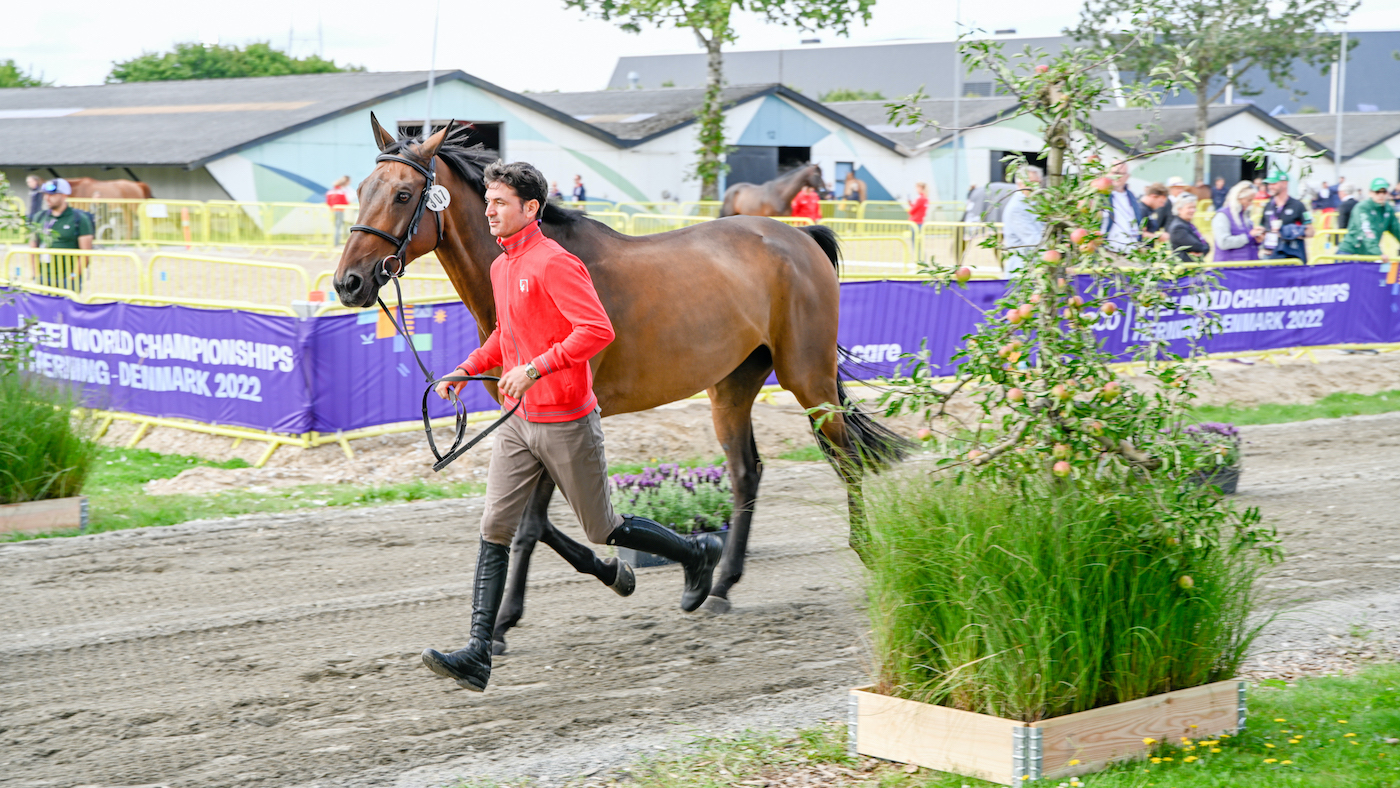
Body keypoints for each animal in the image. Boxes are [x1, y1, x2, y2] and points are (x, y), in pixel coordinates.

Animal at [333, 118, 906, 653]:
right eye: (361, 189)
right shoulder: (524, 423)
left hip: (807, 379)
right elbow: (540, 522)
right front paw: (619, 572)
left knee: (847, 460)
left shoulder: (558, 417)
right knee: (747, 472)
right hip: (731, 386)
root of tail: (800, 236)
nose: (348, 283)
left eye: (403, 194)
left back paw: (868, 553)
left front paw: (500, 624)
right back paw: (719, 586)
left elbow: (530, 526)